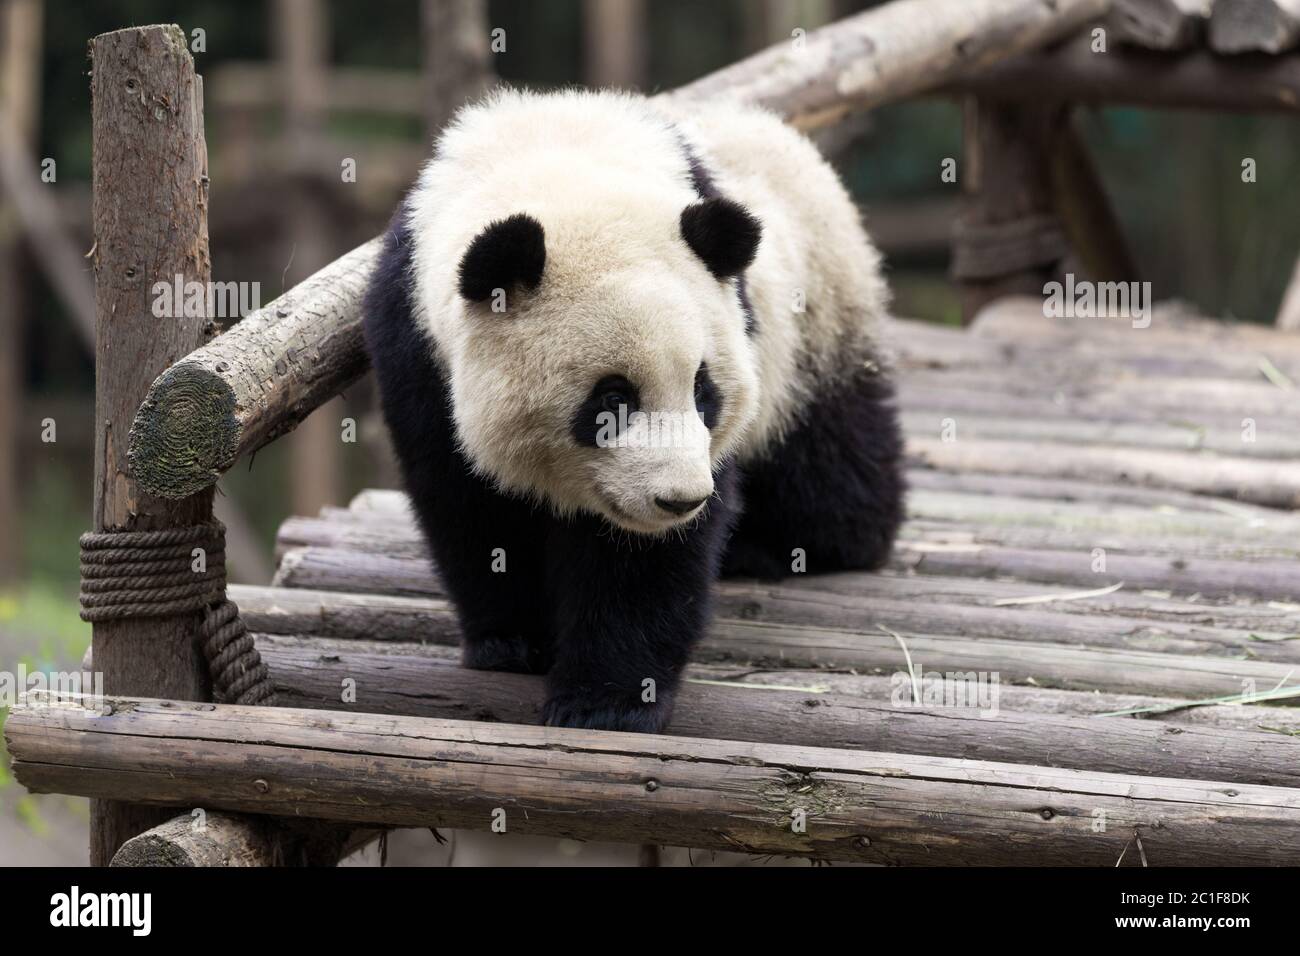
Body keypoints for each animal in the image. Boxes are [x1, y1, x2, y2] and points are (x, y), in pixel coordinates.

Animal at [363, 88, 904, 733]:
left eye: (702, 389)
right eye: (612, 398)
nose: (681, 500)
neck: (554, 159)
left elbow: (640, 560)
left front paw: (606, 700)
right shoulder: (414, 338)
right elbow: (466, 502)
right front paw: (512, 641)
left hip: (816, 319)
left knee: (827, 464)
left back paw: (791, 544)